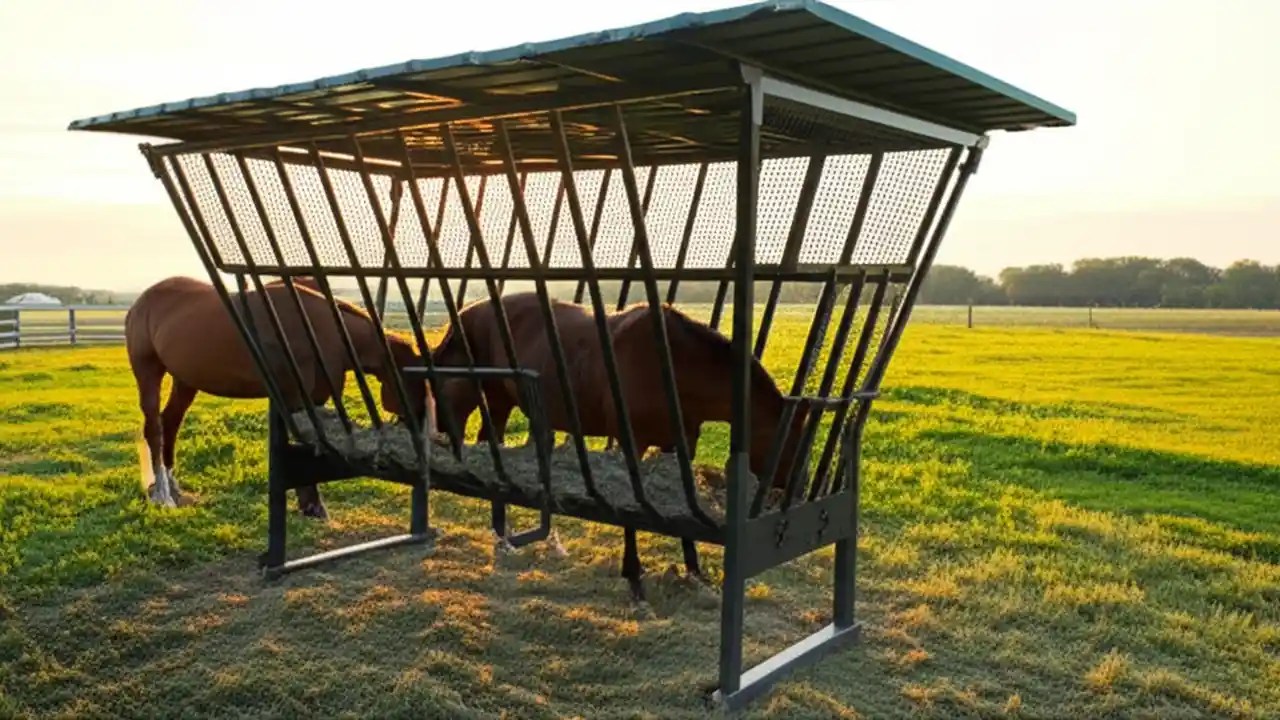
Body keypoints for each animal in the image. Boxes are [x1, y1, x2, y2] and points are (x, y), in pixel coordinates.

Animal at [124, 275, 431, 518]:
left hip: (186, 380)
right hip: (148, 371)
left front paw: (310, 505)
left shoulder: (314, 398)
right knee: (155, 428)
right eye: (414, 379)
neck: (317, 329)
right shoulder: (296, 397)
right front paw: (313, 505)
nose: (416, 420)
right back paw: (163, 496)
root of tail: (141, 303)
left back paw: (174, 488)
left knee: (171, 422)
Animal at [431, 291, 812, 602]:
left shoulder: (681, 446)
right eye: (789, 445)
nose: (797, 495)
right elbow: (632, 513)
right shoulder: (633, 445)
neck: (674, 366)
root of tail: (467, 312)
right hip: (483, 395)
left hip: (500, 402)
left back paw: (502, 534)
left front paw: (694, 570)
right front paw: (634, 577)